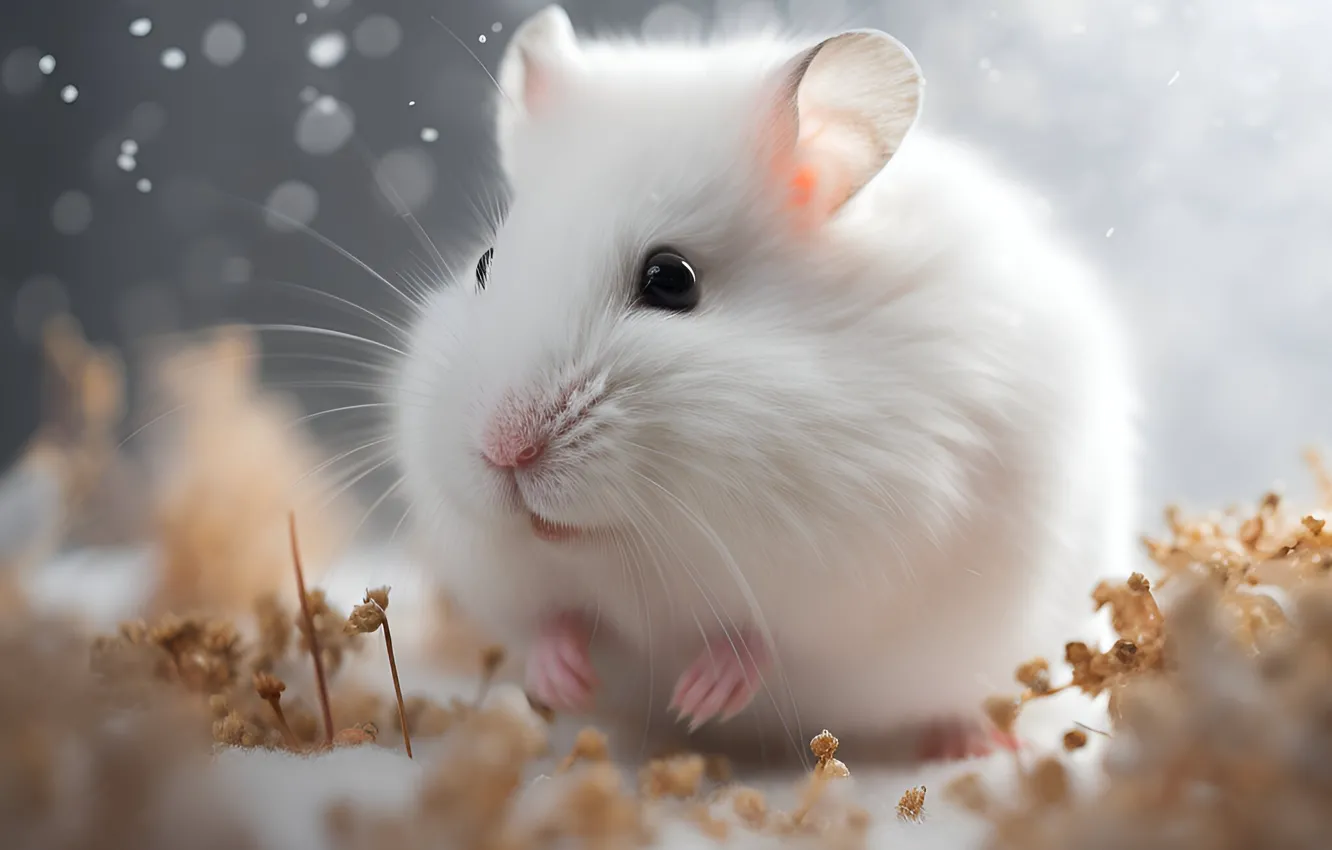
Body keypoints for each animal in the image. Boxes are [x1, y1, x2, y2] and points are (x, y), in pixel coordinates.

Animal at [393, 4, 1136, 763]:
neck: (634, 539)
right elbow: (551, 620)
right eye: (485, 264)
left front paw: (700, 698)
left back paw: (974, 743)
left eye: (671, 279)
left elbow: (766, 640)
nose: (503, 451)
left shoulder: (861, 566)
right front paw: (566, 682)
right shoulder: (506, 576)